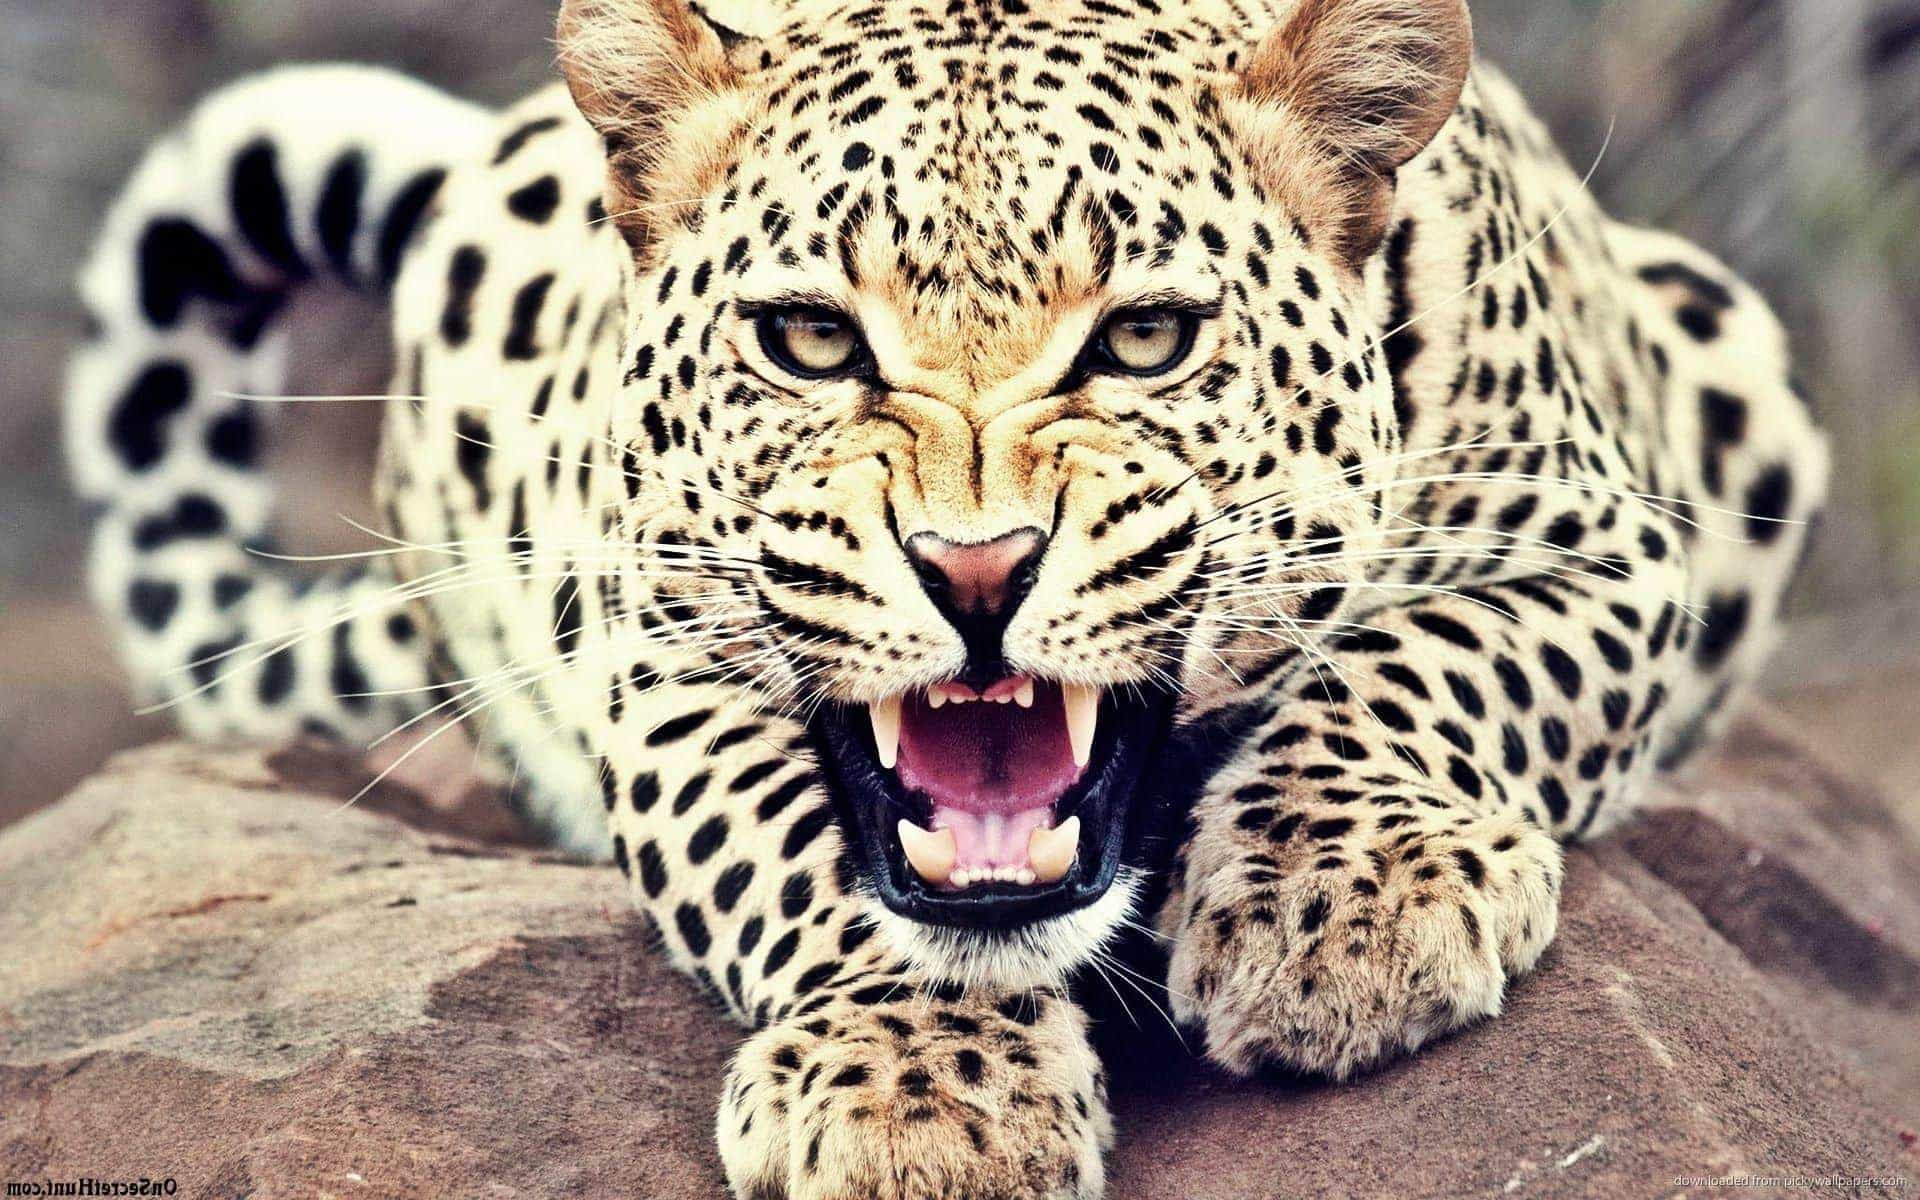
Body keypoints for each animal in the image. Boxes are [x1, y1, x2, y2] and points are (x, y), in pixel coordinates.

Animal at [64, 0, 1829, 1195]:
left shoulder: (1608, 542)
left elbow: (1416, 662)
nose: (975, 568)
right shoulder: (663, 646)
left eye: (1143, 339)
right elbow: (800, 857)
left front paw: (1346, 909)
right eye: (810, 339)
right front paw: (918, 1093)